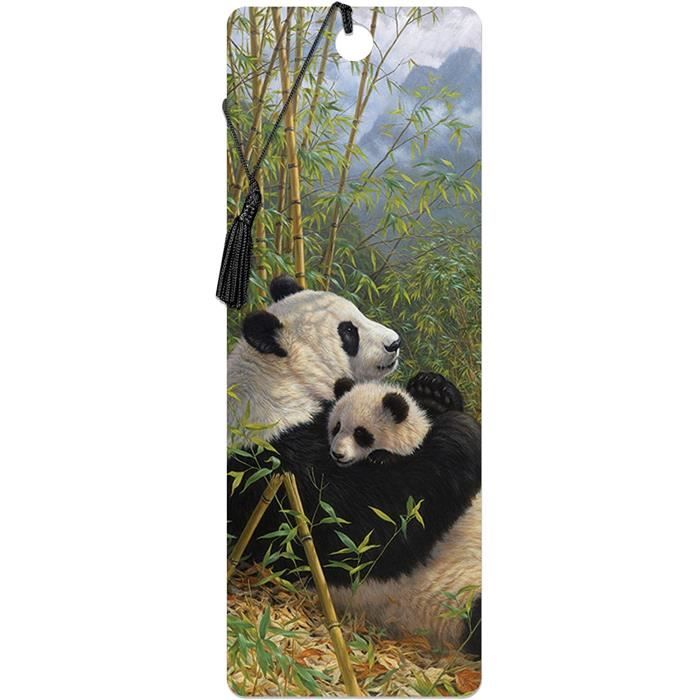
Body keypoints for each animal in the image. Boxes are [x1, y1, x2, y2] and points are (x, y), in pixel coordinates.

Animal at [228, 276, 481, 656]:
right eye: (348, 332)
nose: (394, 343)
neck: (281, 379)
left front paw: (433, 392)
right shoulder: (274, 464)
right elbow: (365, 529)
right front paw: (459, 432)